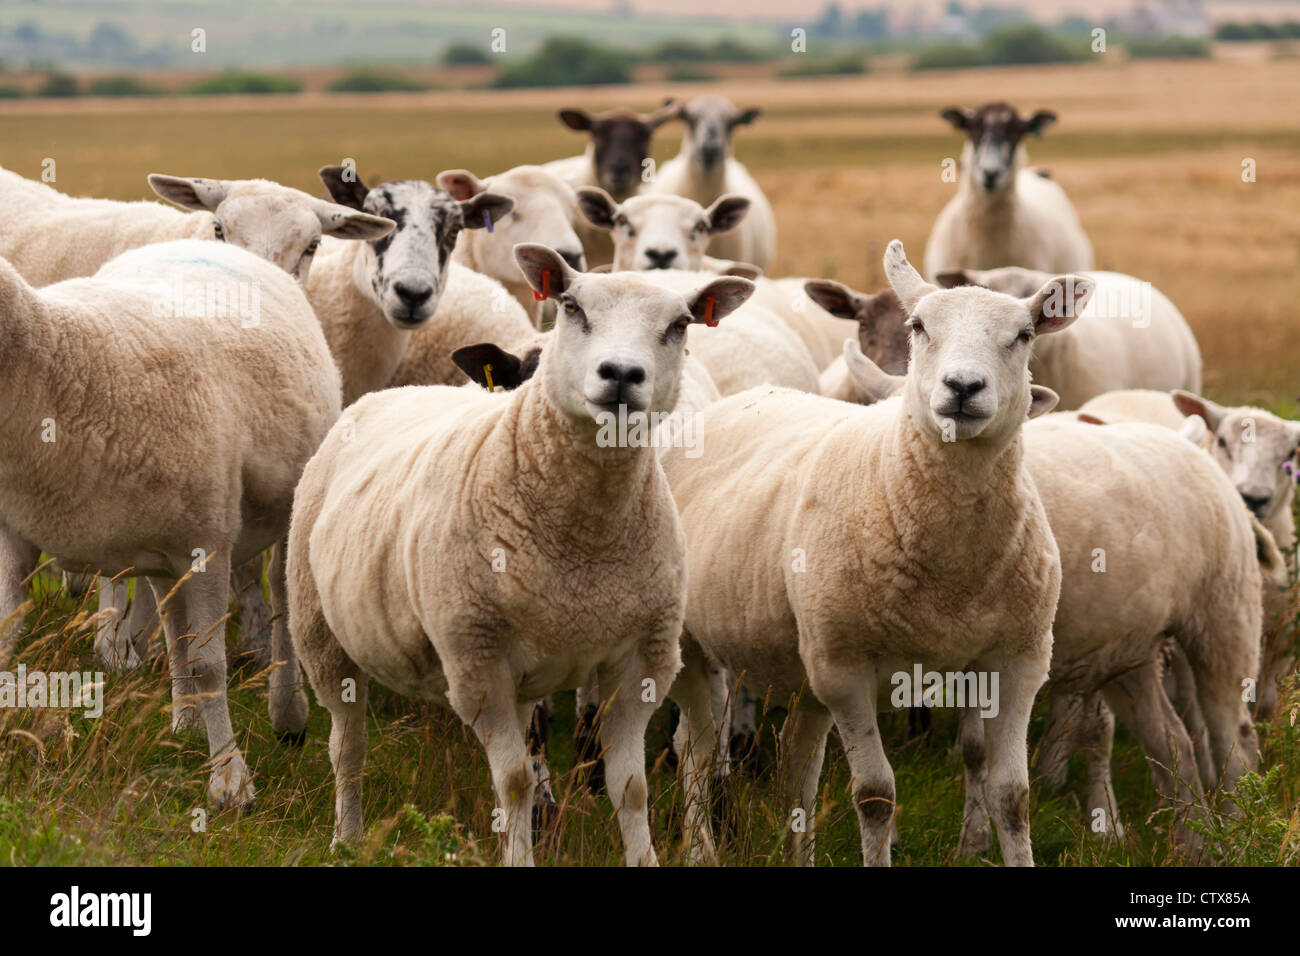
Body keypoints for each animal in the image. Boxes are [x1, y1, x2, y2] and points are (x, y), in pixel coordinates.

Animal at [0, 239, 342, 807]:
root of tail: (202, 241)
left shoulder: (210, 542)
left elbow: (211, 664)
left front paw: (230, 782)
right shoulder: (16, 534)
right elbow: (8, 635)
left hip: (285, 506)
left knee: (281, 599)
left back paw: (287, 713)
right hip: (161, 541)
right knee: (171, 617)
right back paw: (185, 719)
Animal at [287, 243, 754, 865]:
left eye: (680, 324)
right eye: (572, 307)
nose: (621, 375)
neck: (585, 537)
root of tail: (390, 394)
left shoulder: (642, 661)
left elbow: (631, 788)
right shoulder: (479, 666)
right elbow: (513, 783)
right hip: (319, 631)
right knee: (348, 744)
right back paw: (348, 836)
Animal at [661, 240, 1086, 866]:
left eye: (1025, 334)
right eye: (919, 326)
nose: (963, 388)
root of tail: (742, 398)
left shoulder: (1019, 661)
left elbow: (1012, 794)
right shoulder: (846, 669)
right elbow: (876, 796)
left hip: (805, 662)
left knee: (797, 764)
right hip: (695, 644)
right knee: (695, 746)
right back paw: (700, 852)